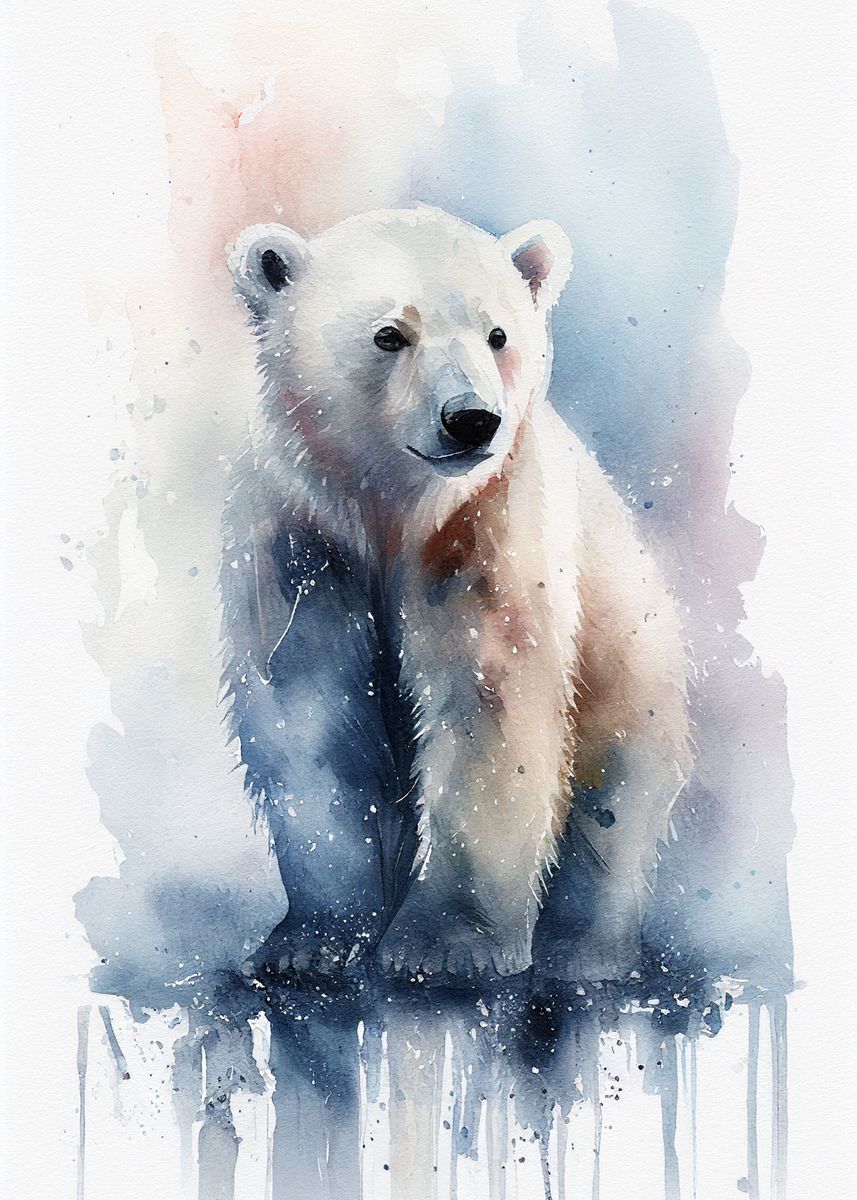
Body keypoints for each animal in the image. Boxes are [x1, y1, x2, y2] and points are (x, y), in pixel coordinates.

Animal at [221, 205, 690, 986]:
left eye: (497, 334)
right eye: (389, 334)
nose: (471, 419)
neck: (393, 512)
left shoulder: (486, 528)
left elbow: (488, 702)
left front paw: (443, 946)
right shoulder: (303, 541)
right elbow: (313, 710)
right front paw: (311, 942)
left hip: (628, 654)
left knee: (615, 798)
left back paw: (585, 951)